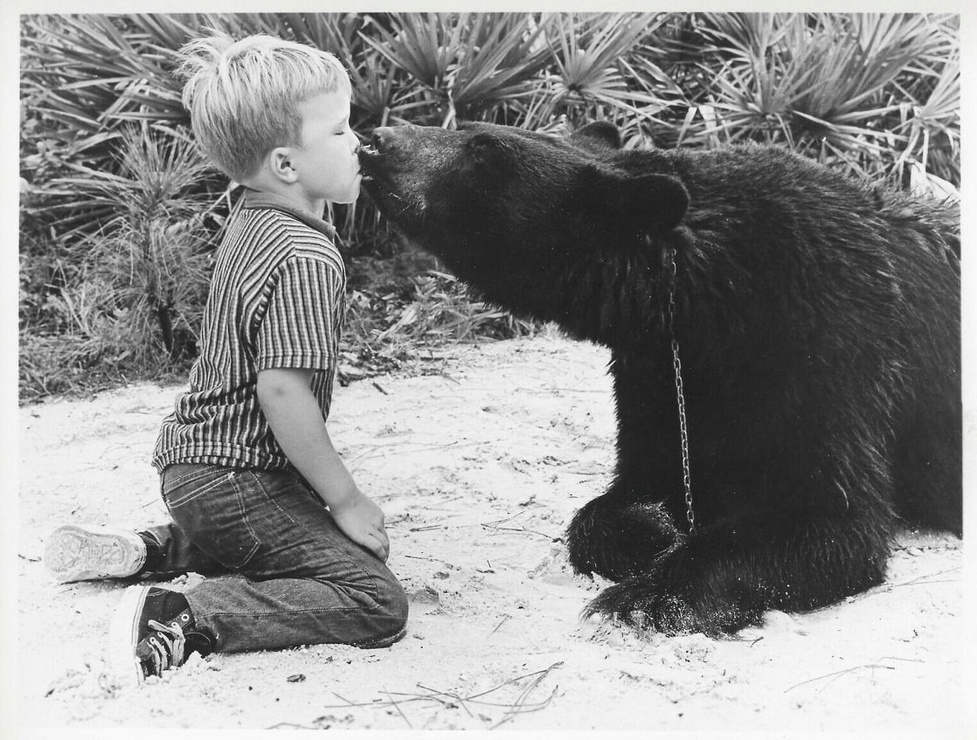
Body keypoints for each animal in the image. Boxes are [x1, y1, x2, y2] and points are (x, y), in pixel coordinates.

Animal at [358, 120, 961, 636]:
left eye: (482, 148)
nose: (378, 138)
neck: (707, 293)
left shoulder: (828, 340)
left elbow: (832, 517)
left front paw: (643, 596)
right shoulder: (656, 368)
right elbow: (639, 478)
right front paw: (652, 527)